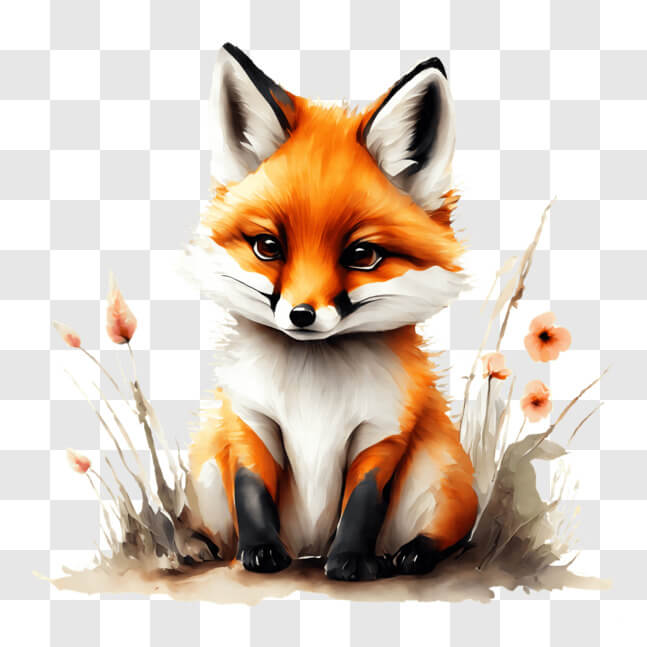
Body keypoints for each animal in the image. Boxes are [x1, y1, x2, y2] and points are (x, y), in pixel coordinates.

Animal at [183, 42, 478, 581]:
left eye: (362, 255)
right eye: (268, 247)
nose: (301, 315)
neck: (313, 385)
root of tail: (309, 548)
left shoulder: (383, 430)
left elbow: (362, 503)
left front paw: (351, 561)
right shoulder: (249, 421)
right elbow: (251, 494)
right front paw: (260, 552)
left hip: (437, 471)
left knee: (447, 532)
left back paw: (412, 554)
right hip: (206, 469)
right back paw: (196, 546)